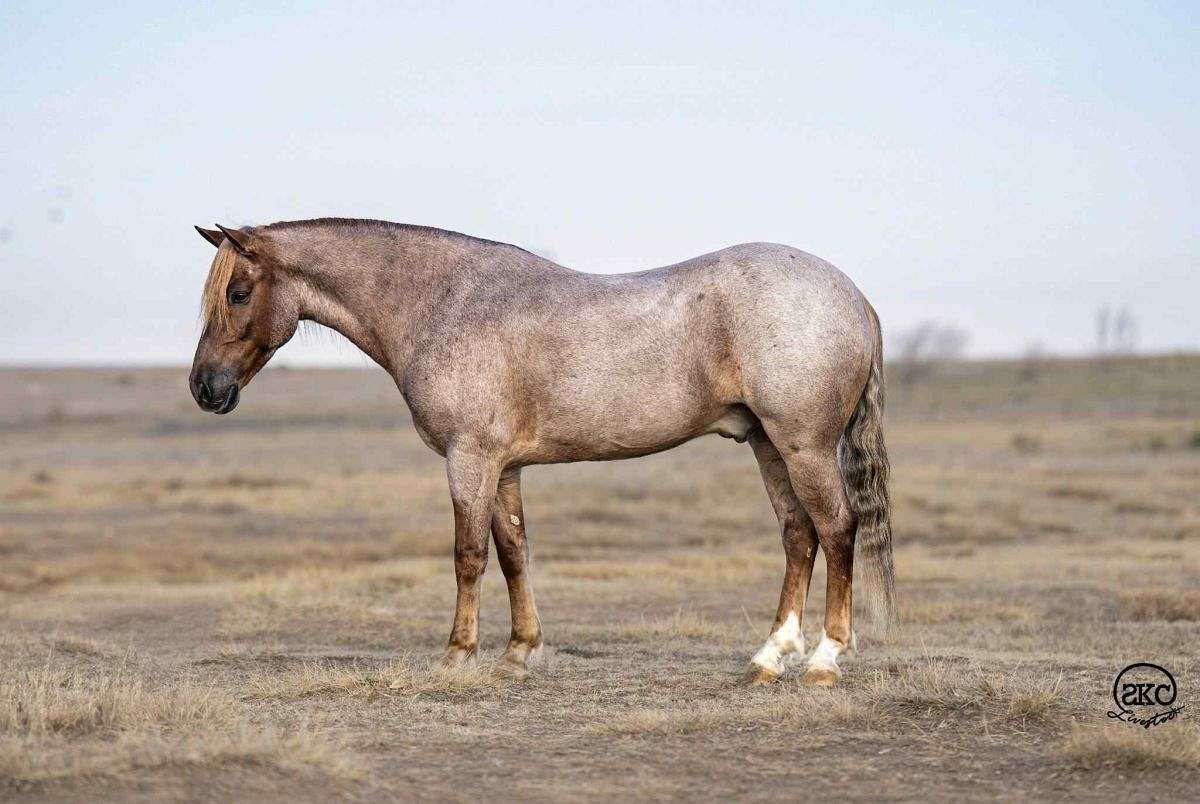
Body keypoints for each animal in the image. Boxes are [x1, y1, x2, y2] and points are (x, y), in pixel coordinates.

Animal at [188, 218, 896, 687]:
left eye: (238, 292)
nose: (204, 387)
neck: (443, 302)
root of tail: (852, 294)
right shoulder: (504, 468)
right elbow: (513, 554)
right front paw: (518, 652)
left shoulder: (469, 460)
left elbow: (468, 557)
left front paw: (457, 656)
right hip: (768, 445)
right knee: (798, 534)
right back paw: (770, 657)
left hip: (803, 445)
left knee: (837, 528)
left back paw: (825, 660)